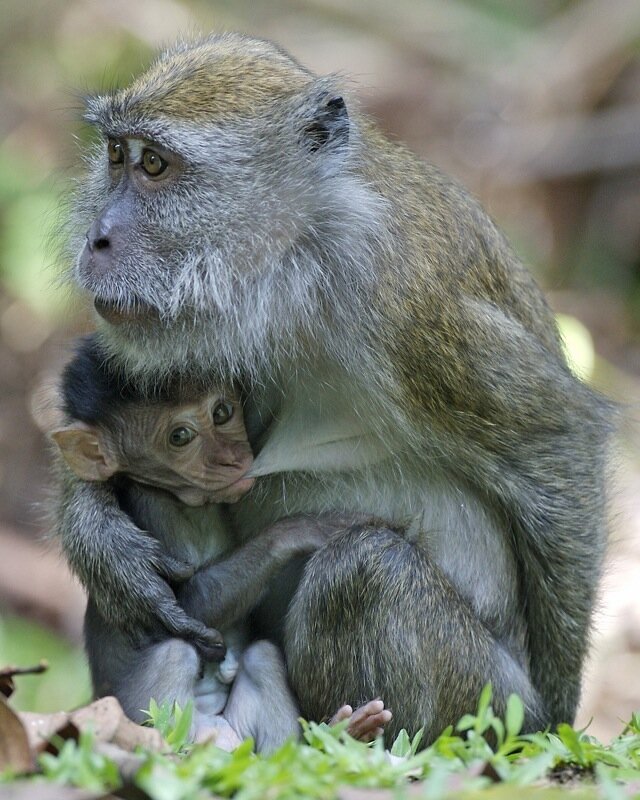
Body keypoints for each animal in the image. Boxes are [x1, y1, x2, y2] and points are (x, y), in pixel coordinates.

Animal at [51, 335, 392, 749]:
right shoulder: (155, 508)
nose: (232, 459)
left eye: (222, 412)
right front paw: (306, 529)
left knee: (262, 660)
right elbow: (188, 602)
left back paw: (344, 733)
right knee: (175, 655)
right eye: (180, 437)